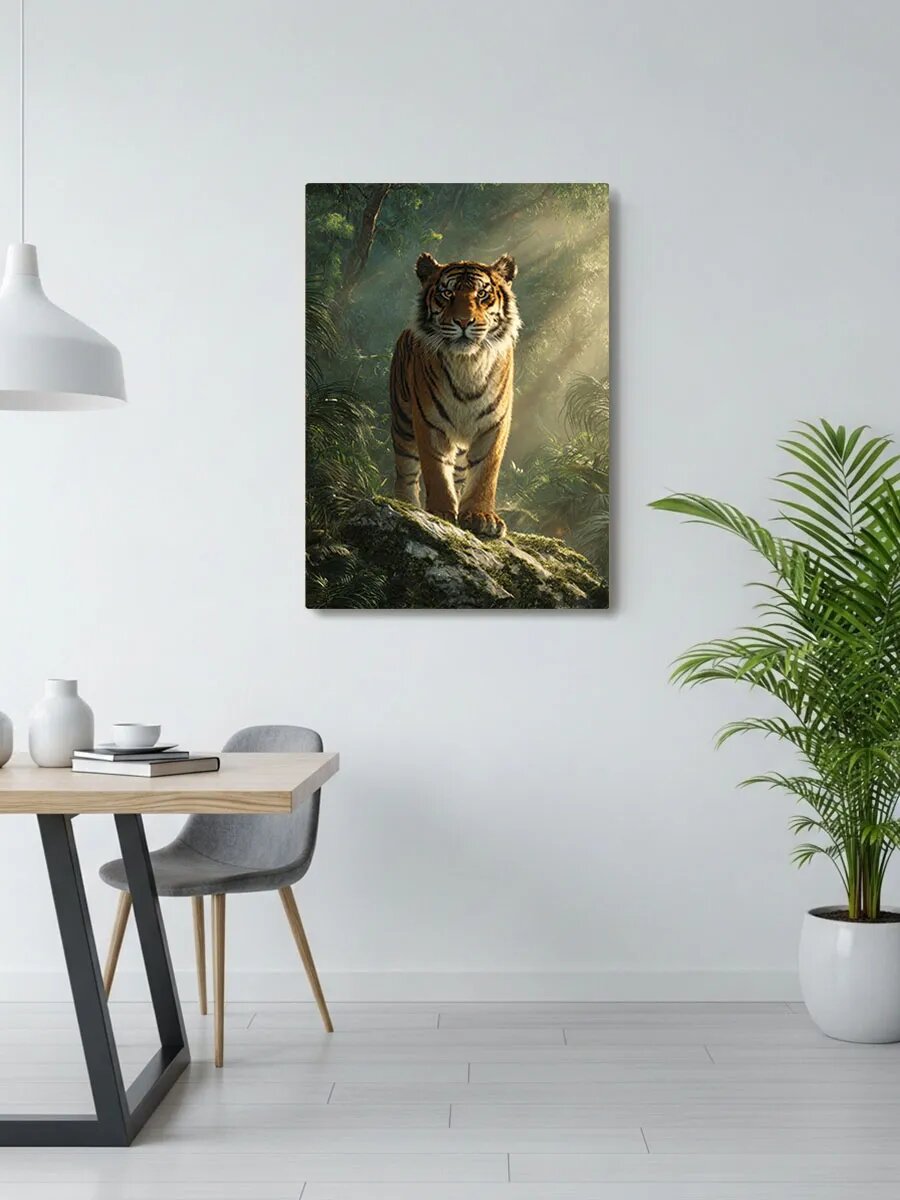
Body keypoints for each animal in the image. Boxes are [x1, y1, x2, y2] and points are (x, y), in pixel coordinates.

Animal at [389, 251, 521, 537]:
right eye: (447, 294)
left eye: (482, 294)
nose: (463, 322)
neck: (468, 364)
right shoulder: (428, 422)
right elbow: (436, 469)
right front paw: (440, 512)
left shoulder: (494, 424)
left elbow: (485, 471)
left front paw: (482, 517)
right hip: (403, 422)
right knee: (406, 470)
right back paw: (407, 504)